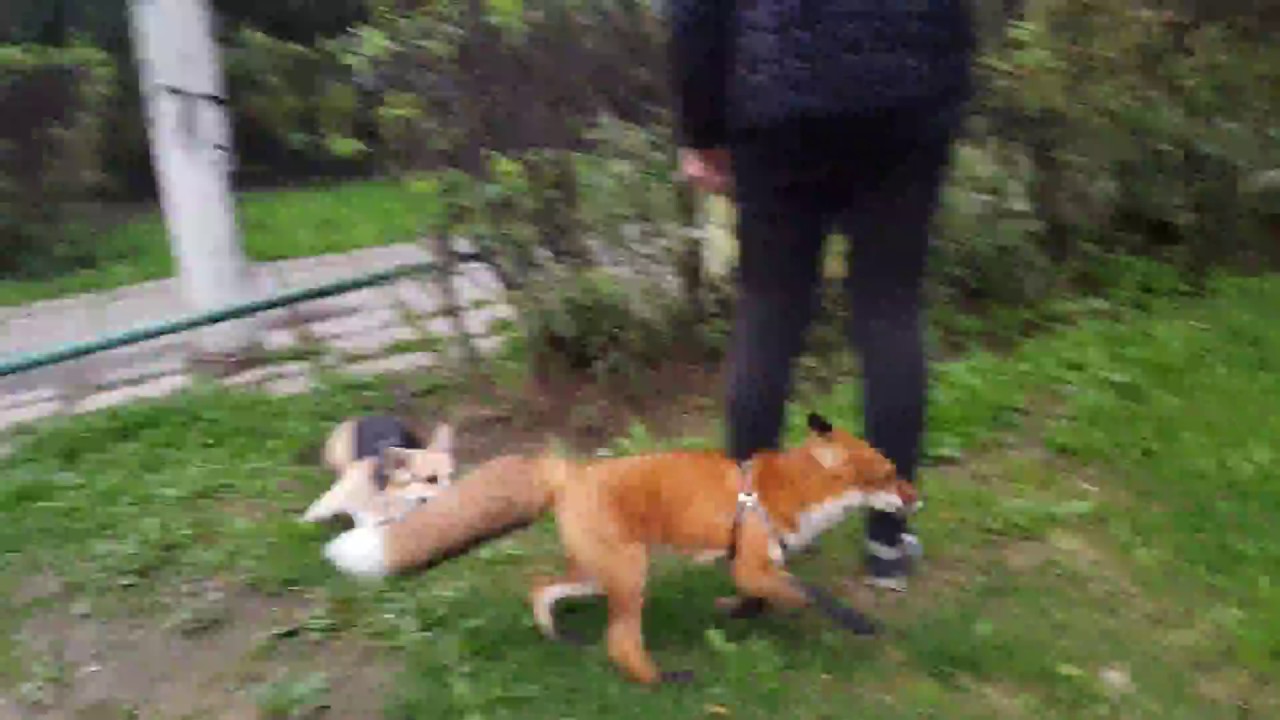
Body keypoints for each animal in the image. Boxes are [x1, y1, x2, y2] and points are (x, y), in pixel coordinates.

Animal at [322, 412, 920, 685]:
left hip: (603, 573)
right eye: (889, 474)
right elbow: (811, 594)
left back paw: (557, 637)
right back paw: (665, 681)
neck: (782, 491)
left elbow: (767, 591)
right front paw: (856, 623)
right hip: (632, 573)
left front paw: (744, 613)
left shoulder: (751, 565)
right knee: (621, 645)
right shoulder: (752, 563)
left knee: (541, 589)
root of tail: (570, 470)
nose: (918, 497)